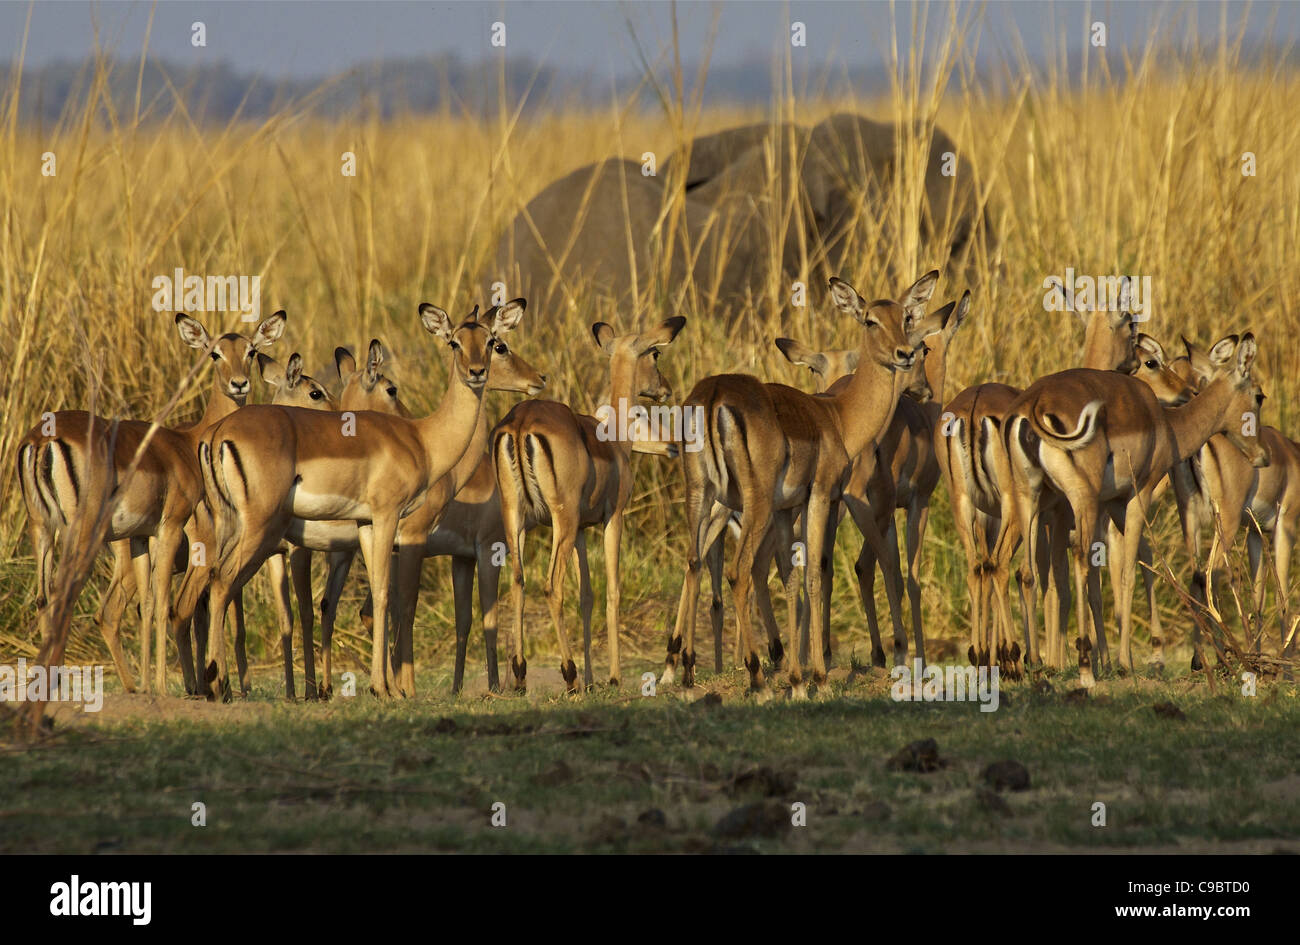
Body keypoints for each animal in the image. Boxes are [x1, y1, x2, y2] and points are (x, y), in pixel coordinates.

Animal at [16, 312, 286, 694]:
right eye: (214, 353)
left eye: (251, 351)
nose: (239, 384)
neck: (187, 443)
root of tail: (42, 439)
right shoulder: (170, 526)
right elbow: (165, 605)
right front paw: (165, 687)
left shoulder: (142, 536)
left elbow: (146, 604)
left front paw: (149, 685)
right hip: (80, 533)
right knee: (63, 596)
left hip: (41, 527)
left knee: (44, 597)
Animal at [198, 301, 525, 701]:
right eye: (455, 343)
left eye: (491, 341)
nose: (477, 372)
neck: (422, 439)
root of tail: (218, 434)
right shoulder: (393, 521)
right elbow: (389, 598)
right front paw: (389, 689)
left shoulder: (368, 524)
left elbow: (380, 598)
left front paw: (385, 686)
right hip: (261, 529)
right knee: (221, 583)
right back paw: (220, 684)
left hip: (234, 529)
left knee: (213, 586)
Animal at [493, 316, 686, 693]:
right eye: (655, 354)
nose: (666, 388)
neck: (613, 439)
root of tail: (521, 422)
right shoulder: (613, 518)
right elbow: (612, 590)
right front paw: (612, 676)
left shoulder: (582, 529)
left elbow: (587, 595)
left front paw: (594, 679)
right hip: (560, 521)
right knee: (552, 586)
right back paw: (569, 676)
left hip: (516, 518)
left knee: (518, 582)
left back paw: (521, 676)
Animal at [661, 273, 944, 700]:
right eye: (870, 320)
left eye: (905, 317)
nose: (905, 354)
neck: (836, 417)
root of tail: (713, 396)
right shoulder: (821, 496)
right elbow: (814, 576)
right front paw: (819, 680)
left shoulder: (785, 510)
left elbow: (790, 579)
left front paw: (797, 679)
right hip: (753, 505)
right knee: (739, 573)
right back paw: (757, 680)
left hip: (702, 497)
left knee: (695, 562)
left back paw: (689, 677)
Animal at [1004, 332, 1264, 684]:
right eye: (1258, 396)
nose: (1262, 455)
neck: (1164, 424)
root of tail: (1035, 405)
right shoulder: (1137, 496)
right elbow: (1128, 570)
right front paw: (1125, 663)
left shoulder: (1112, 505)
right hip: (1080, 498)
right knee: (1080, 562)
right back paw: (1084, 668)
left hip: (1030, 498)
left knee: (1026, 571)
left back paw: (1035, 665)